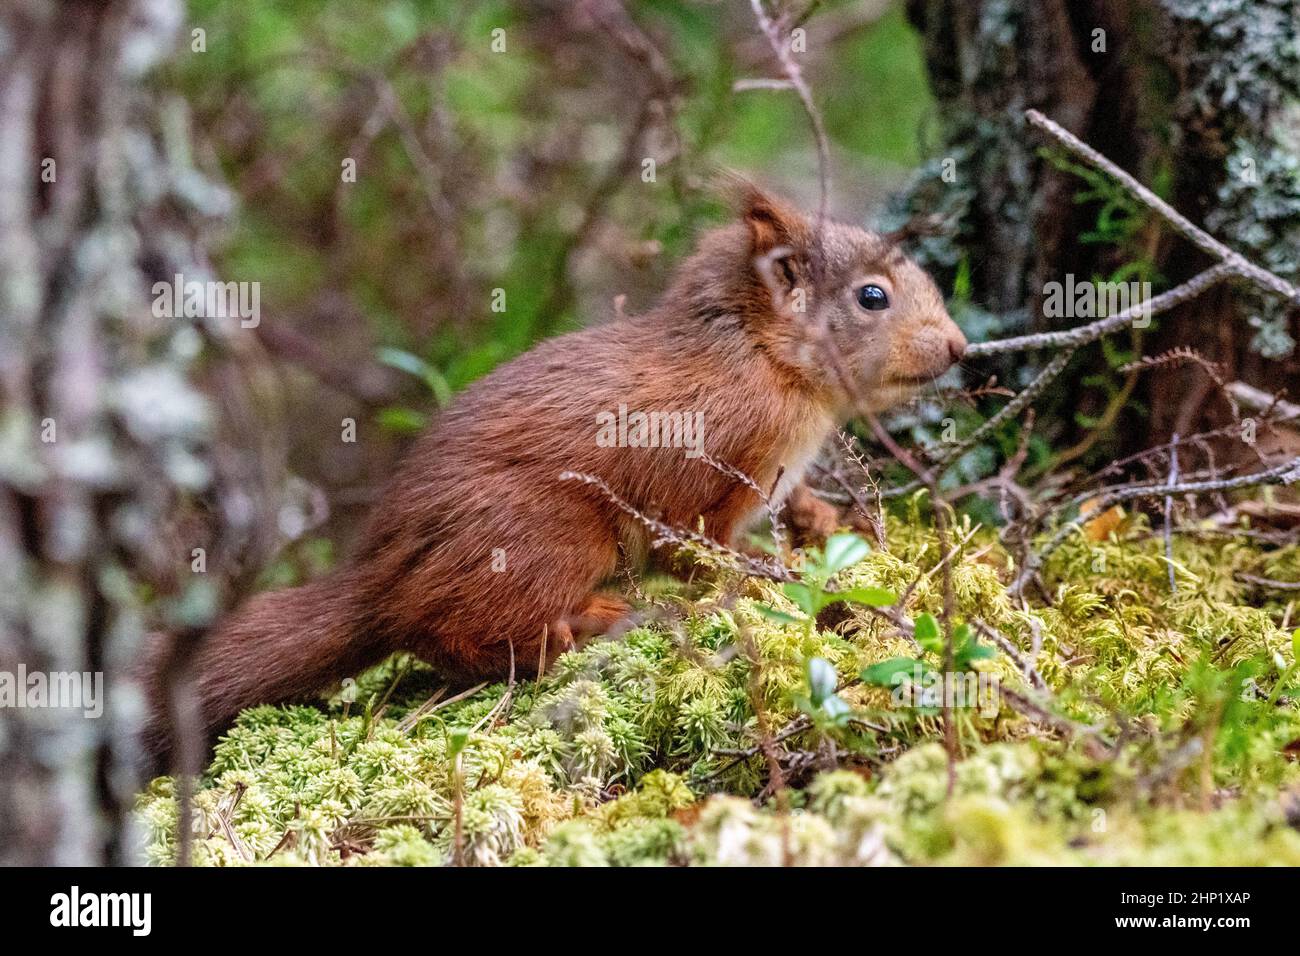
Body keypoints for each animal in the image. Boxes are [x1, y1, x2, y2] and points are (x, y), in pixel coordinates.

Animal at [140, 183, 965, 763]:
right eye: (872, 296)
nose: (958, 347)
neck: (761, 359)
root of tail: (379, 579)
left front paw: (825, 527)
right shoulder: (704, 481)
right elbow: (704, 553)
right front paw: (770, 585)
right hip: (544, 536)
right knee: (450, 633)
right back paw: (579, 626)